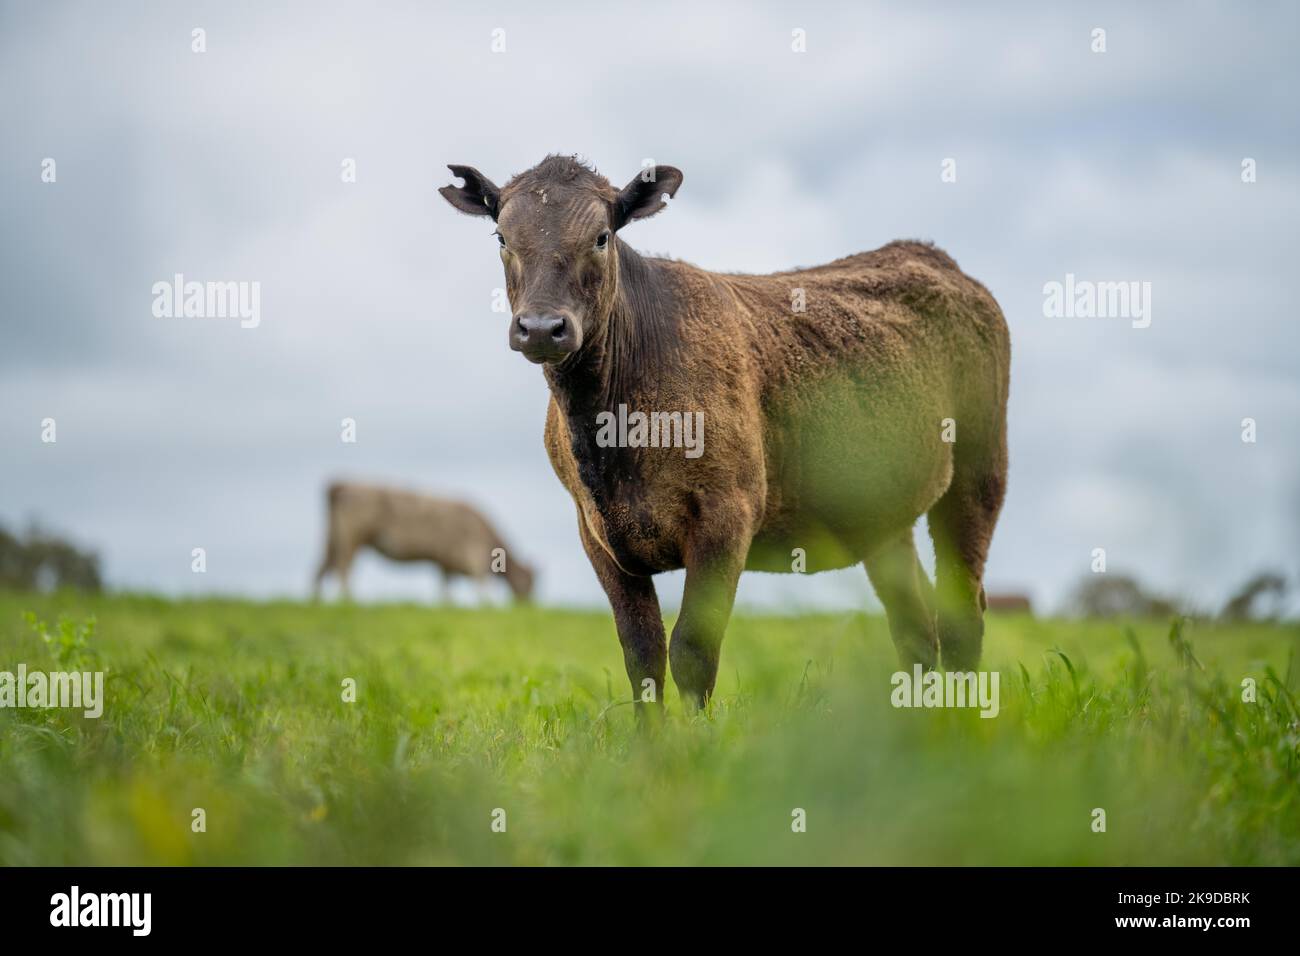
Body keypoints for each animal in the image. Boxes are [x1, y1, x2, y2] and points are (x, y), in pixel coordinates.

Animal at [313, 481, 534, 603]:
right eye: (529, 582)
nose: (527, 605)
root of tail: (340, 485)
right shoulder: (472, 554)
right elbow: (481, 583)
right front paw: (487, 604)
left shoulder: (446, 562)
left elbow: (445, 589)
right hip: (352, 538)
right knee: (343, 569)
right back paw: (347, 600)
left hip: (333, 538)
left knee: (322, 568)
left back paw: (317, 601)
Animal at [440, 155, 1009, 714]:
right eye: (501, 237)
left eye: (601, 237)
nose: (540, 327)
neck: (613, 443)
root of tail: (927, 252)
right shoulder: (594, 529)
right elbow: (642, 655)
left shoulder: (727, 511)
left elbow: (692, 650)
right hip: (882, 516)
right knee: (915, 623)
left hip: (980, 469)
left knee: (964, 611)